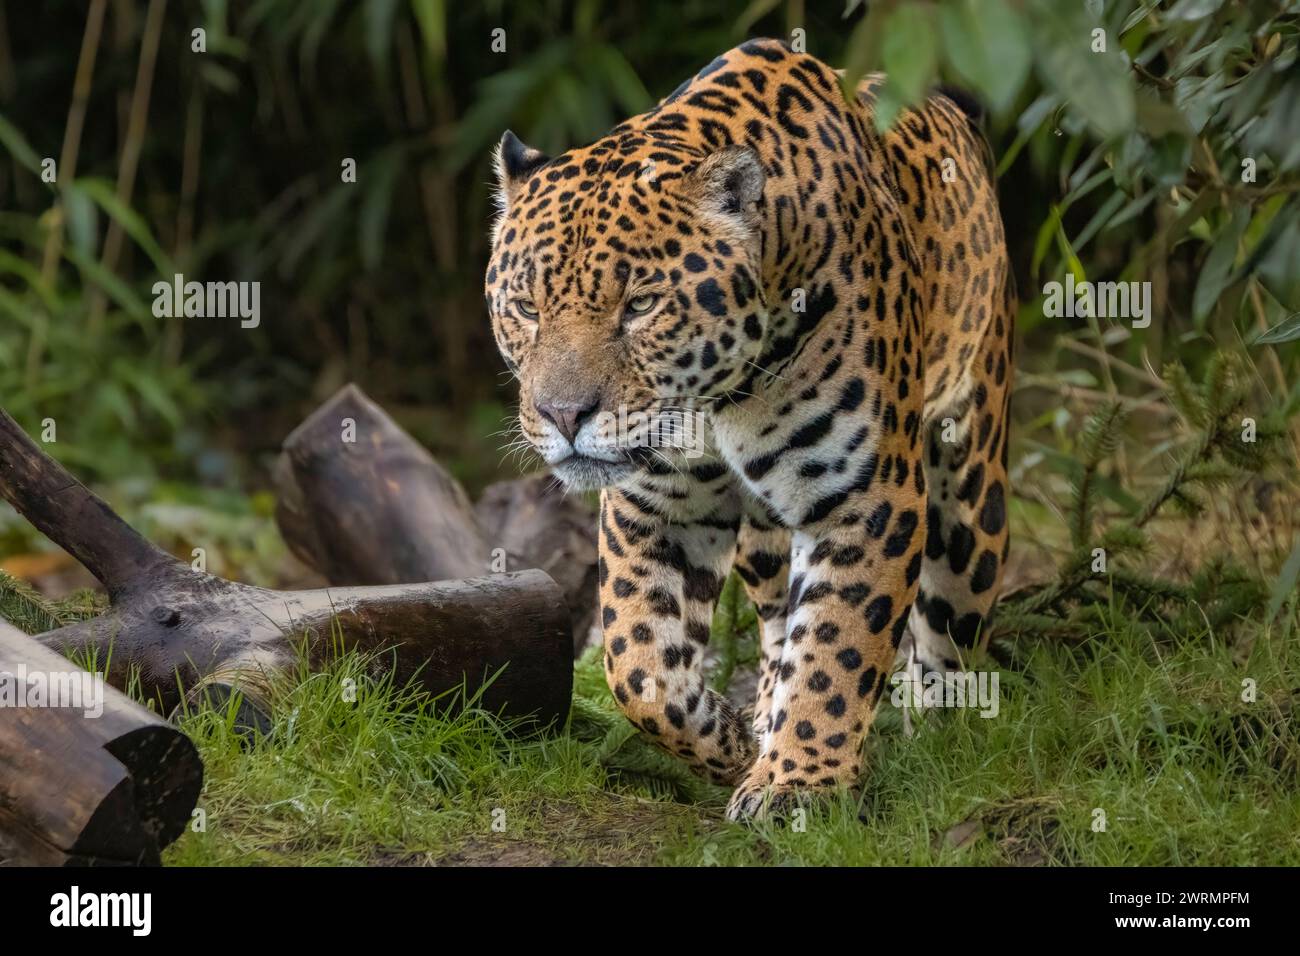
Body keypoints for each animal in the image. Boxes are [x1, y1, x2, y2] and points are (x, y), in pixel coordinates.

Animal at [484, 38, 1015, 821]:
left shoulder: (868, 498)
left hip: (970, 481)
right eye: (526, 307)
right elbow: (637, 664)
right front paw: (735, 741)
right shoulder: (655, 504)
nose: (562, 415)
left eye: (640, 306)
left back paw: (938, 738)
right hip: (766, 546)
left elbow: (838, 647)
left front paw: (802, 784)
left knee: (951, 628)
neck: (717, 399)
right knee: (775, 620)